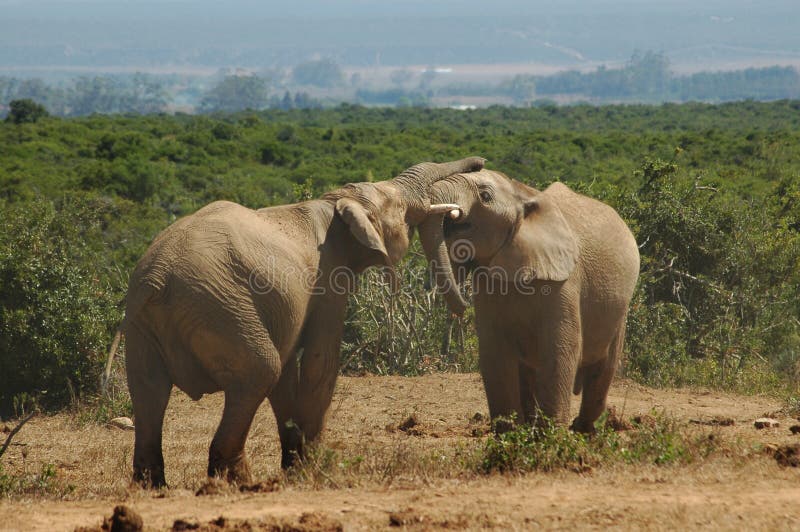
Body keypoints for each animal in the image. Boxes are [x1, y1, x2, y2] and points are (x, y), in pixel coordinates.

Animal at [122, 157, 483, 487]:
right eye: (402, 208)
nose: (479, 164)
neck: (336, 202)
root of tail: (157, 278)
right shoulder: (328, 278)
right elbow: (318, 362)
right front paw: (313, 470)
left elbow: (287, 375)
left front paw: (294, 466)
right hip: (218, 308)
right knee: (259, 372)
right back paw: (237, 481)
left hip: (146, 326)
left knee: (148, 391)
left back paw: (153, 486)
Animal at [418, 169, 639, 433]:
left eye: (485, 196)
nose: (461, 307)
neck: (522, 195)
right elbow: (495, 351)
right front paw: (508, 435)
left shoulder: (564, 281)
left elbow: (560, 348)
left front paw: (550, 437)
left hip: (620, 309)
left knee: (603, 368)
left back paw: (582, 430)